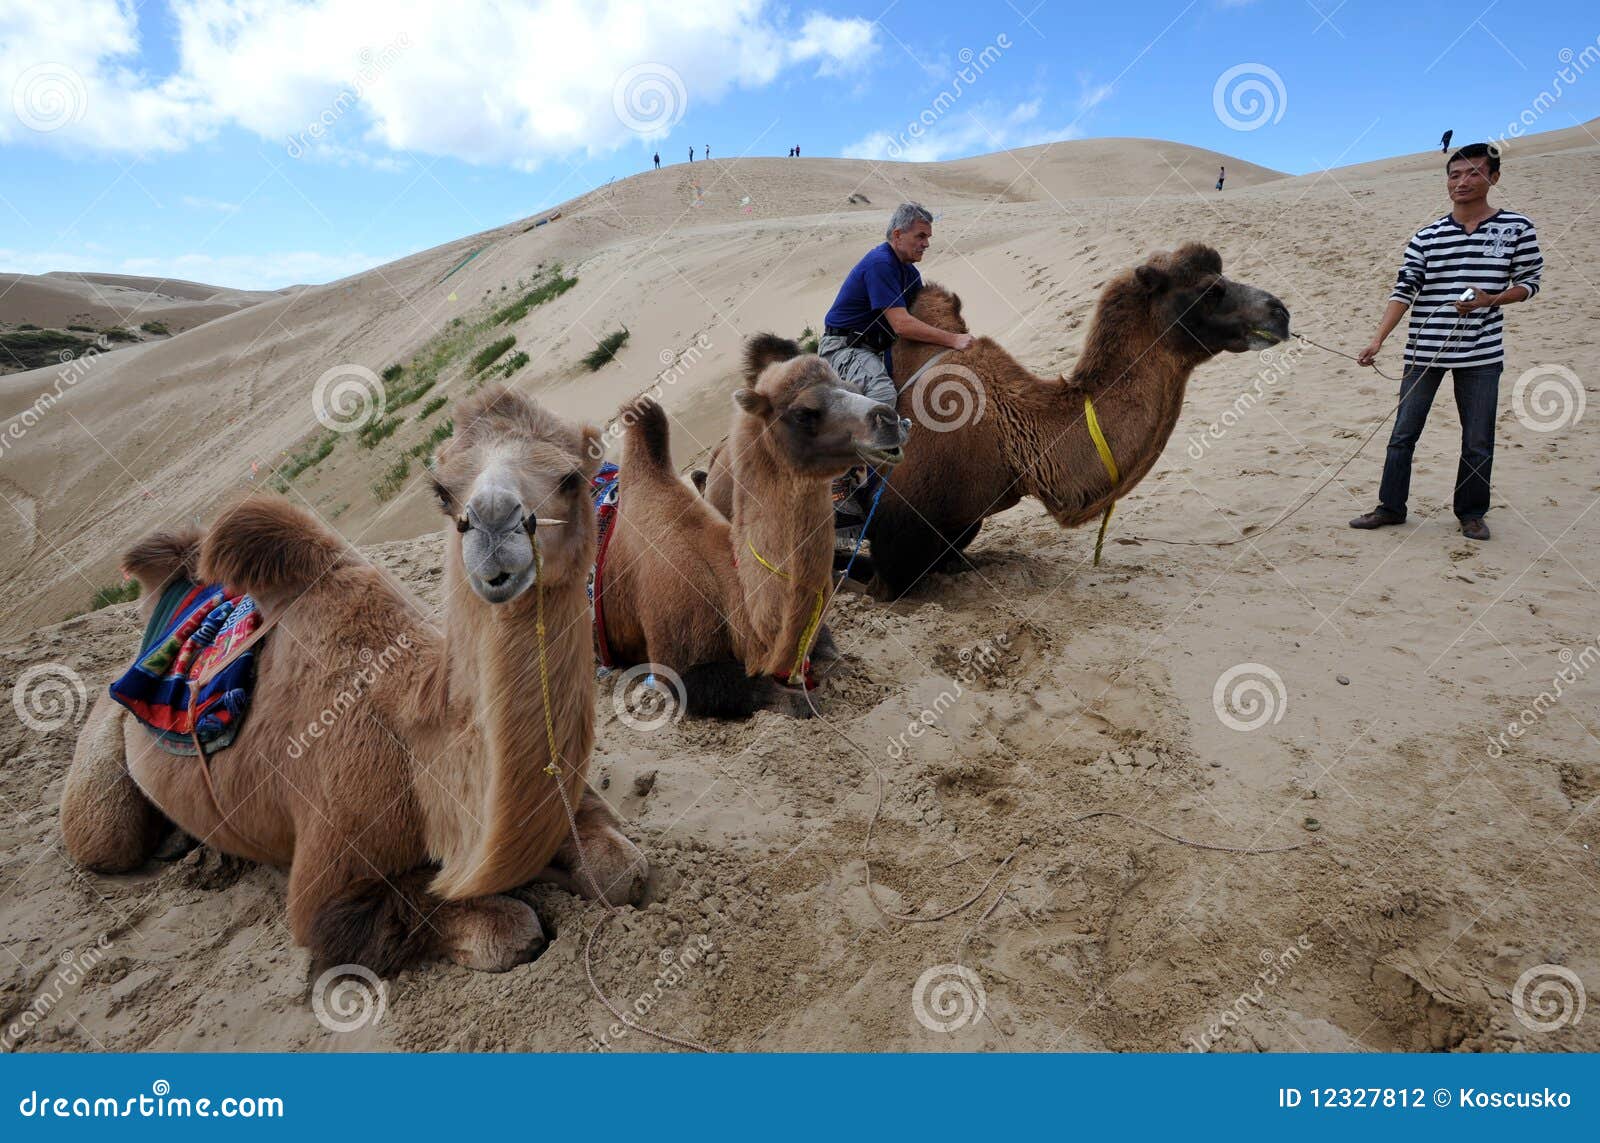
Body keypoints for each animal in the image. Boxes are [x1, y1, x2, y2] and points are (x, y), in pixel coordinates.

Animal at [61, 386, 647, 977]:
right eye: (442, 492)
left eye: (573, 475)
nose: (493, 527)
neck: (417, 750)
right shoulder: (328, 877)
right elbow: (492, 926)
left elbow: (622, 868)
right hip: (103, 759)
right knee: (104, 840)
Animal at [598, 336, 906, 715]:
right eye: (804, 413)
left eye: (853, 387)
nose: (889, 419)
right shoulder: (680, 666)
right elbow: (775, 694)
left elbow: (832, 656)